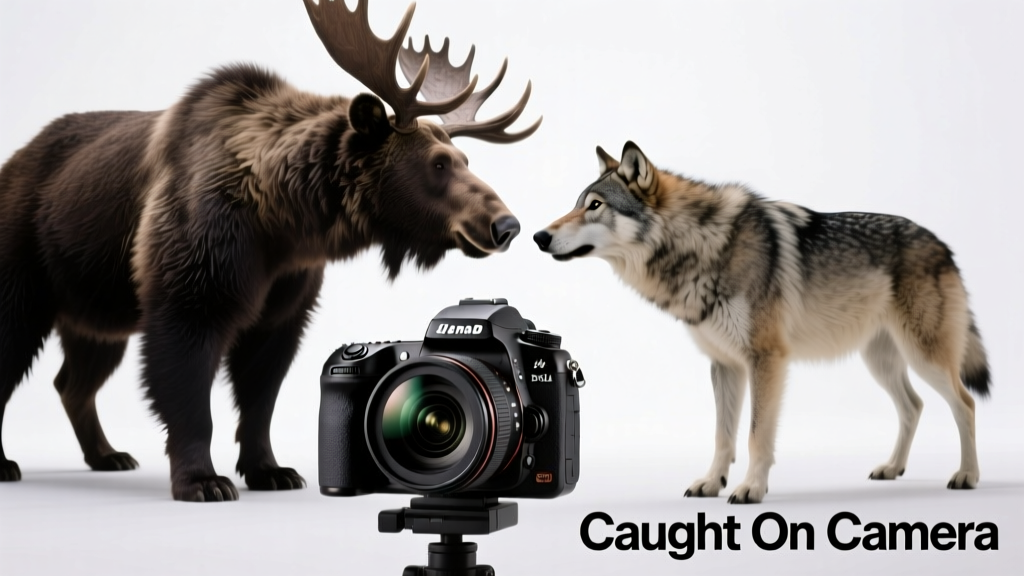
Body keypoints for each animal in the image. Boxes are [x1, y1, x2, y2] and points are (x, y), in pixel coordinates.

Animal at [0, 0, 540, 501]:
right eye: (438, 163)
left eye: (465, 158)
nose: (506, 225)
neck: (285, 226)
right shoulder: (190, 288)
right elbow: (187, 396)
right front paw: (203, 480)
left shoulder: (284, 304)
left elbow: (260, 400)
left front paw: (271, 470)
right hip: (28, 280)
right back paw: (8, 462)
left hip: (95, 307)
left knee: (73, 381)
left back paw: (107, 454)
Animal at [534, 141, 989, 503]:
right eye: (577, 203)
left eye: (595, 205)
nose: (539, 236)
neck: (702, 246)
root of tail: (944, 245)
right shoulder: (725, 365)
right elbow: (723, 436)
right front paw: (711, 483)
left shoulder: (766, 359)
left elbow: (756, 436)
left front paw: (750, 489)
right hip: (880, 361)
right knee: (914, 405)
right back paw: (892, 468)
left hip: (923, 357)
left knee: (964, 404)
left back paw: (967, 475)